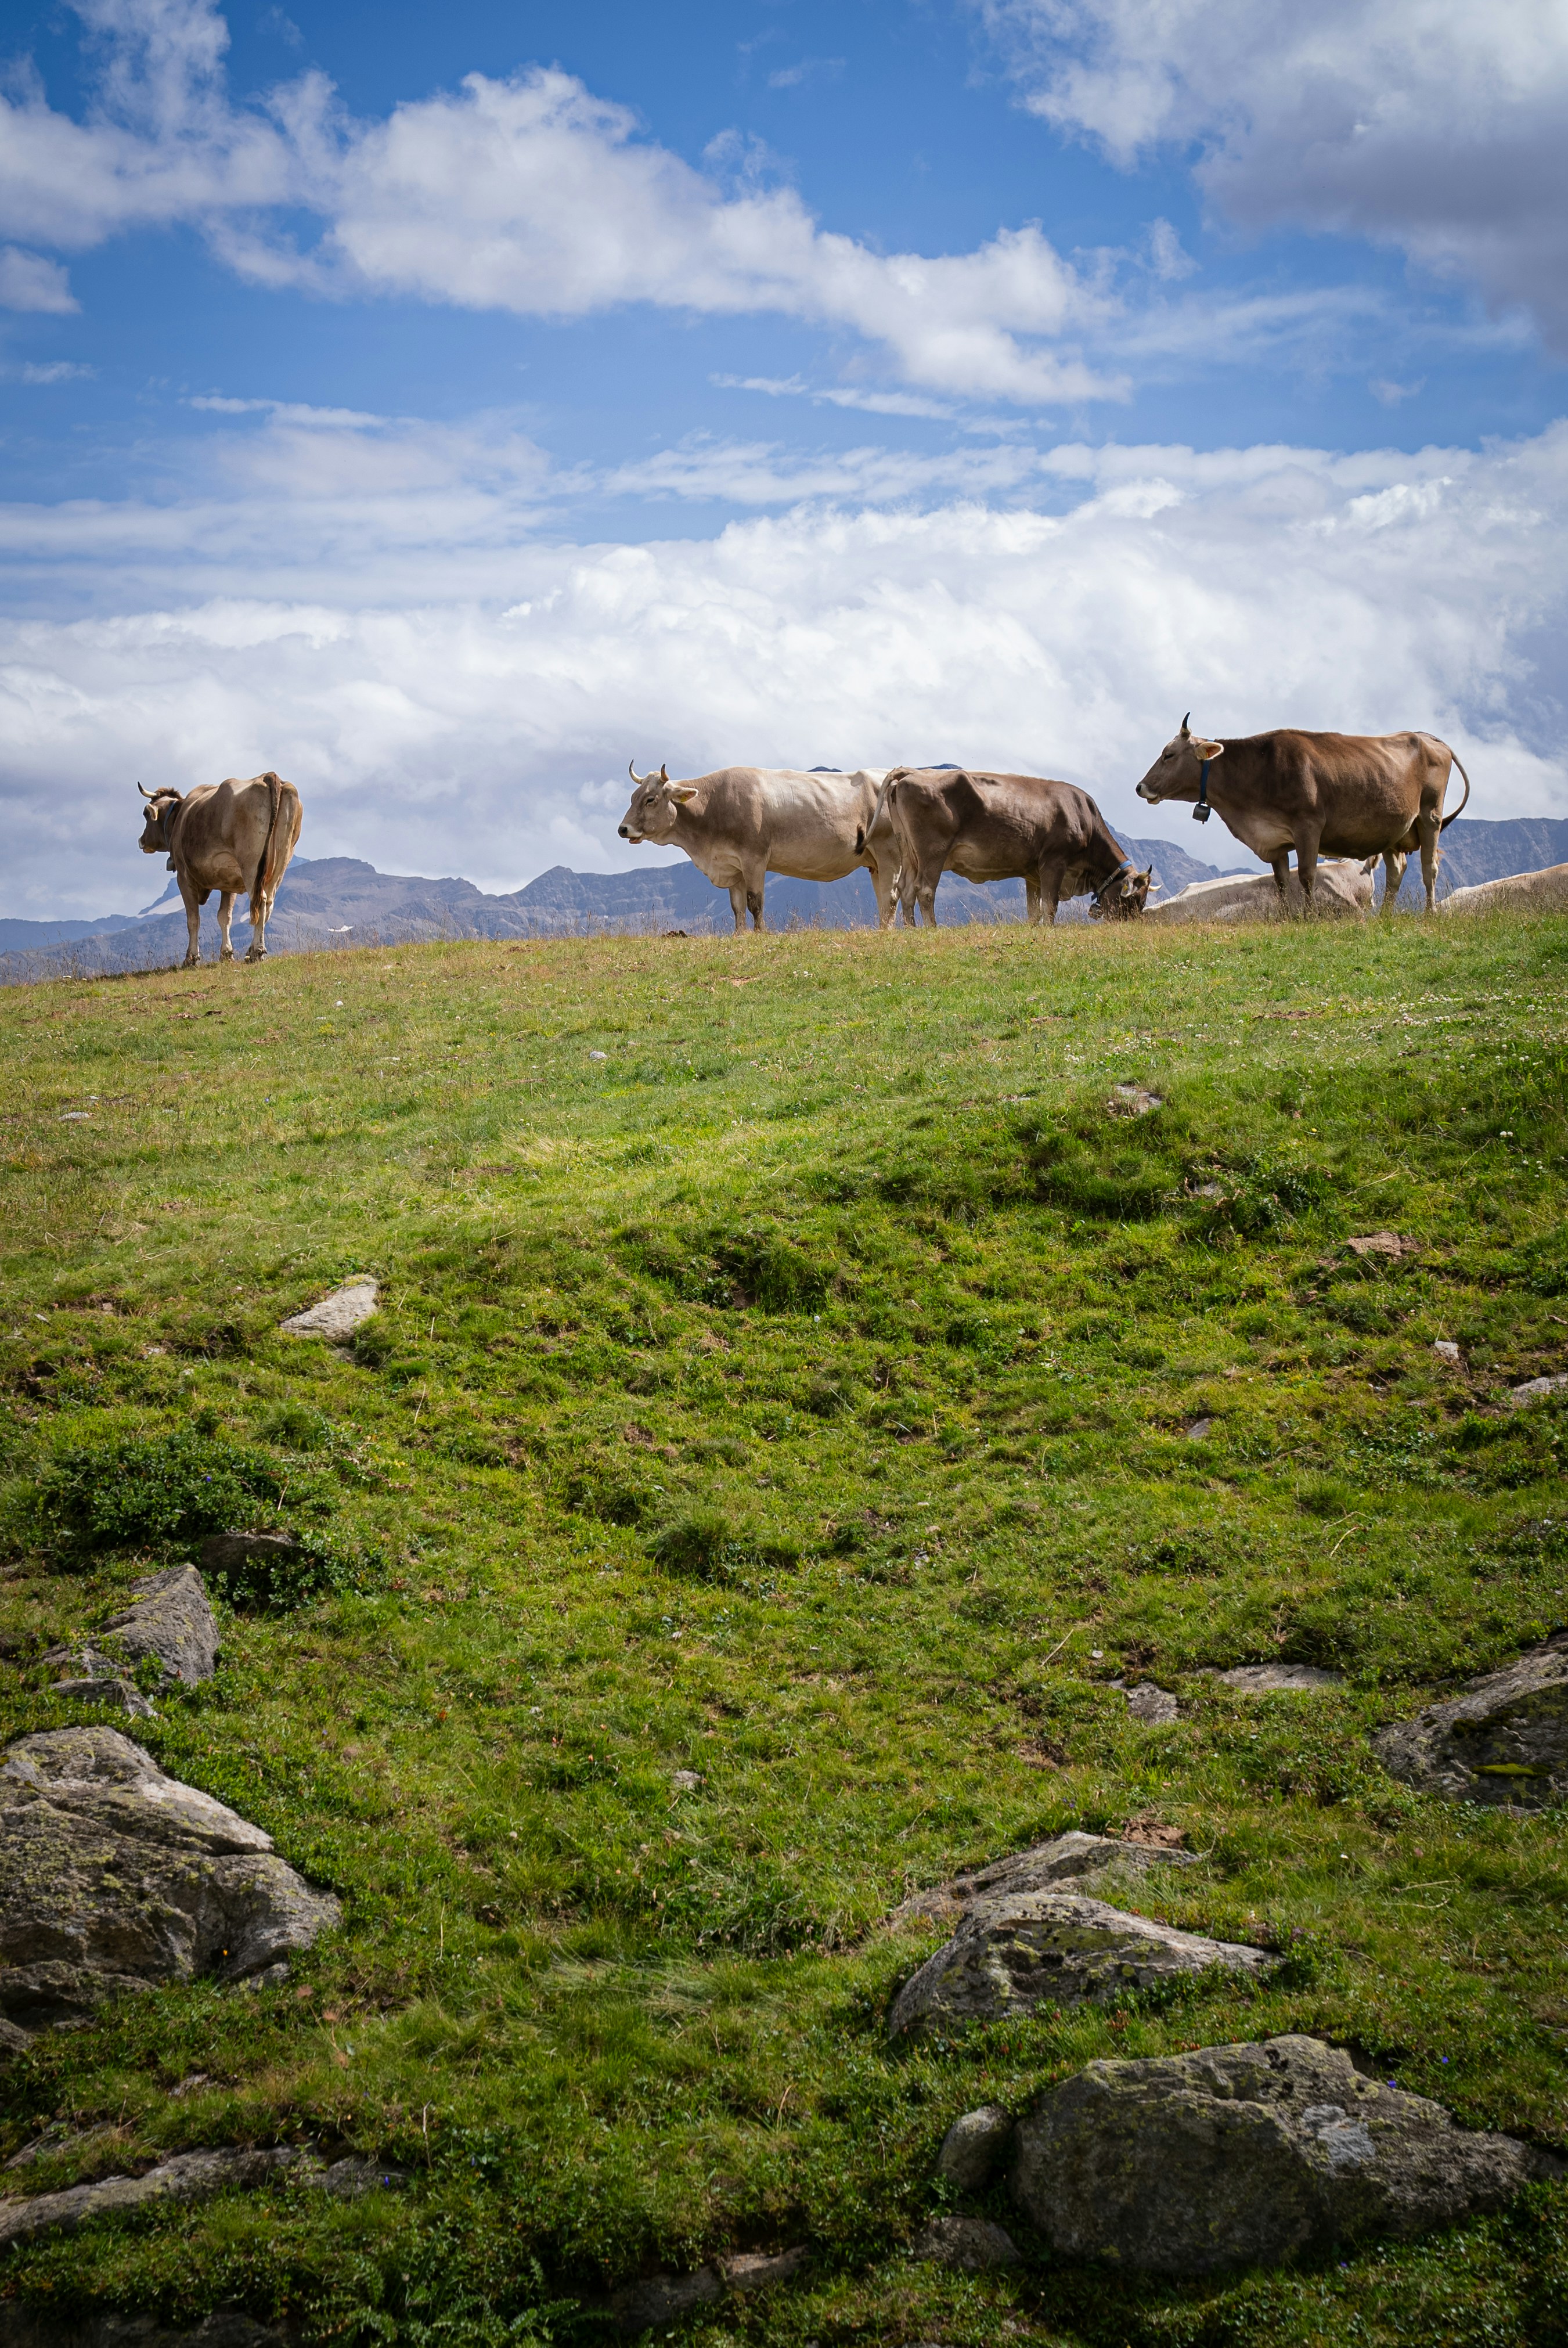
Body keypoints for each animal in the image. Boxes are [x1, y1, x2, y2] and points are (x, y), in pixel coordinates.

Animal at [137, 771, 303, 967]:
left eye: (145, 814)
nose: (141, 840)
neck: (180, 817)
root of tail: (268, 776)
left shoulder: (184, 878)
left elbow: (193, 919)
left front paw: (191, 958)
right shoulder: (229, 882)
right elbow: (225, 917)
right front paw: (226, 953)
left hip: (251, 866)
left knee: (260, 901)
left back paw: (257, 951)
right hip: (280, 864)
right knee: (268, 903)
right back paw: (251, 950)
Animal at [616, 764, 897, 930]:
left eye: (650, 799)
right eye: (633, 797)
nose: (623, 829)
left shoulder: (754, 860)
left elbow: (755, 904)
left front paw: (761, 934)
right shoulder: (733, 867)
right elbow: (737, 907)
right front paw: (740, 936)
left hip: (888, 852)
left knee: (891, 898)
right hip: (875, 862)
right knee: (883, 900)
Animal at [860, 767, 1150, 928]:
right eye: (1134, 899)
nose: (1132, 925)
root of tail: (914, 772)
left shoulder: (1033, 872)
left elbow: (1034, 908)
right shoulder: (1054, 862)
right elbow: (1050, 905)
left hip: (909, 851)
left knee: (906, 889)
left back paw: (912, 929)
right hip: (932, 851)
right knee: (924, 890)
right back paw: (932, 928)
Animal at [1134, 717, 1471, 914]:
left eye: (1169, 755)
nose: (1140, 787)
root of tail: (1426, 737)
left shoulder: (1308, 826)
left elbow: (1307, 875)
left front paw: (1308, 917)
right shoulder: (1274, 840)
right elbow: (1282, 882)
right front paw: (1287, 917)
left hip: (1430, 816)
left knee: (1430, 868)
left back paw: (1430, 914)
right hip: (1393, 830)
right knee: (1396, 871)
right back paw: (1386, 917)